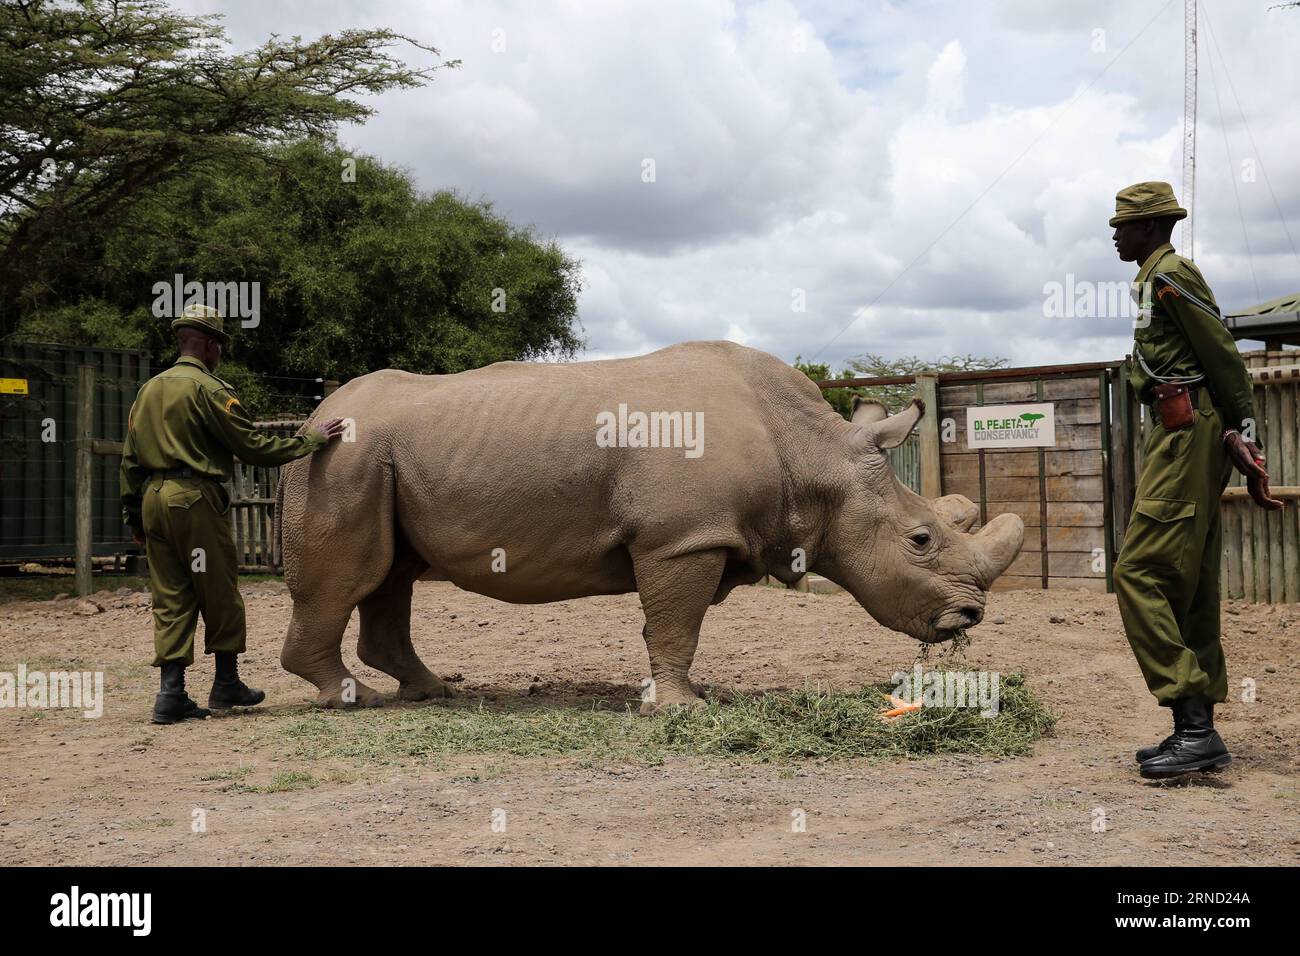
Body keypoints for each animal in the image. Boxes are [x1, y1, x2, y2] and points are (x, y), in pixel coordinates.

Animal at [276, 341, 1024, 712]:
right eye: (921, 540)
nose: (969, 618)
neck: (813, 454)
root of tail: (314, 412)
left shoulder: (697, 535)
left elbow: (673, 625)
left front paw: (690, 697)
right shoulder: (682, 538)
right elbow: (675, 624)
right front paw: (682, 709)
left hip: (376, 458)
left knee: (391, 575)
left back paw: (429, 691)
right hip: (340, 457)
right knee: (350, 577)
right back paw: (352, 700)